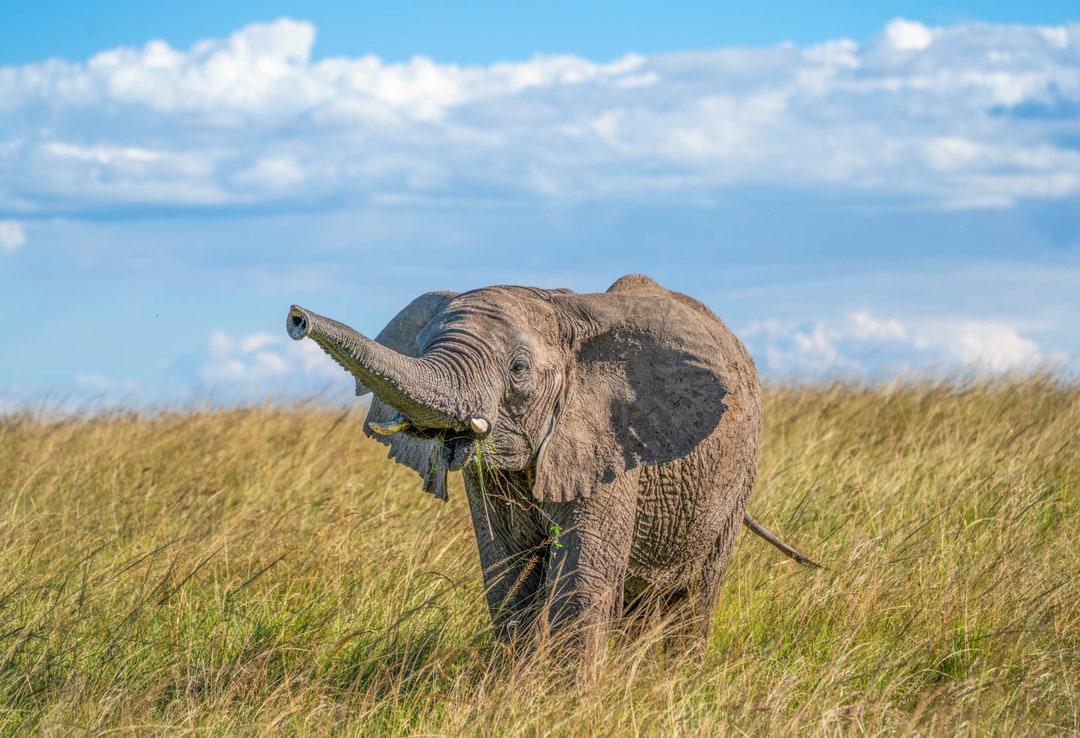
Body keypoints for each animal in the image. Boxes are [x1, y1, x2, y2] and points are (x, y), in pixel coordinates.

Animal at [287, 274, 815, 655]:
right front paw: (511, 693)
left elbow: (581, 584)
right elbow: (509, 578)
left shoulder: (608, 444)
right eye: (417, 350)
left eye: (518, 370)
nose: (295, 317)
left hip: (738, 478)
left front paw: (571, 704)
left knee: (696, 594)